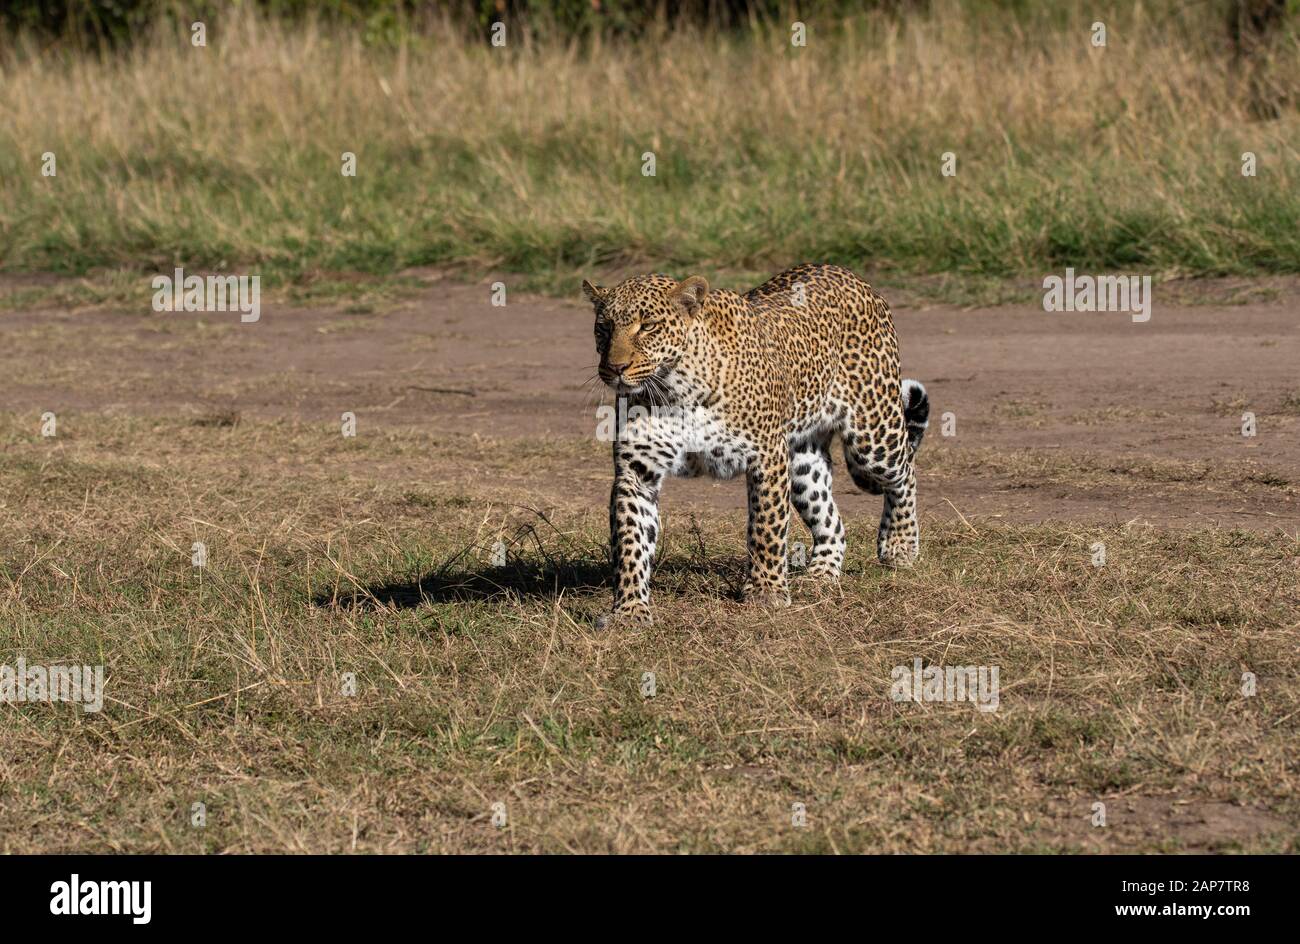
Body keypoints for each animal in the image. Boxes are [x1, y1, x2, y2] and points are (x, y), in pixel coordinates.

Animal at [583, 263, 929, 627]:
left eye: (648, 326)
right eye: (604, 328)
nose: (615, 368)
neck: (674, 388)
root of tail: (847, 272)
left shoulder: (767, 456)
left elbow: (766, 528)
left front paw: (766, 592)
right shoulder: (637, 472)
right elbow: (631, 543)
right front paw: (629, 611)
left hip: (873, 435)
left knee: (905, 472)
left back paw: (900, 546)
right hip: (803, 463)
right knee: (831, 521)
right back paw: (821, 574)